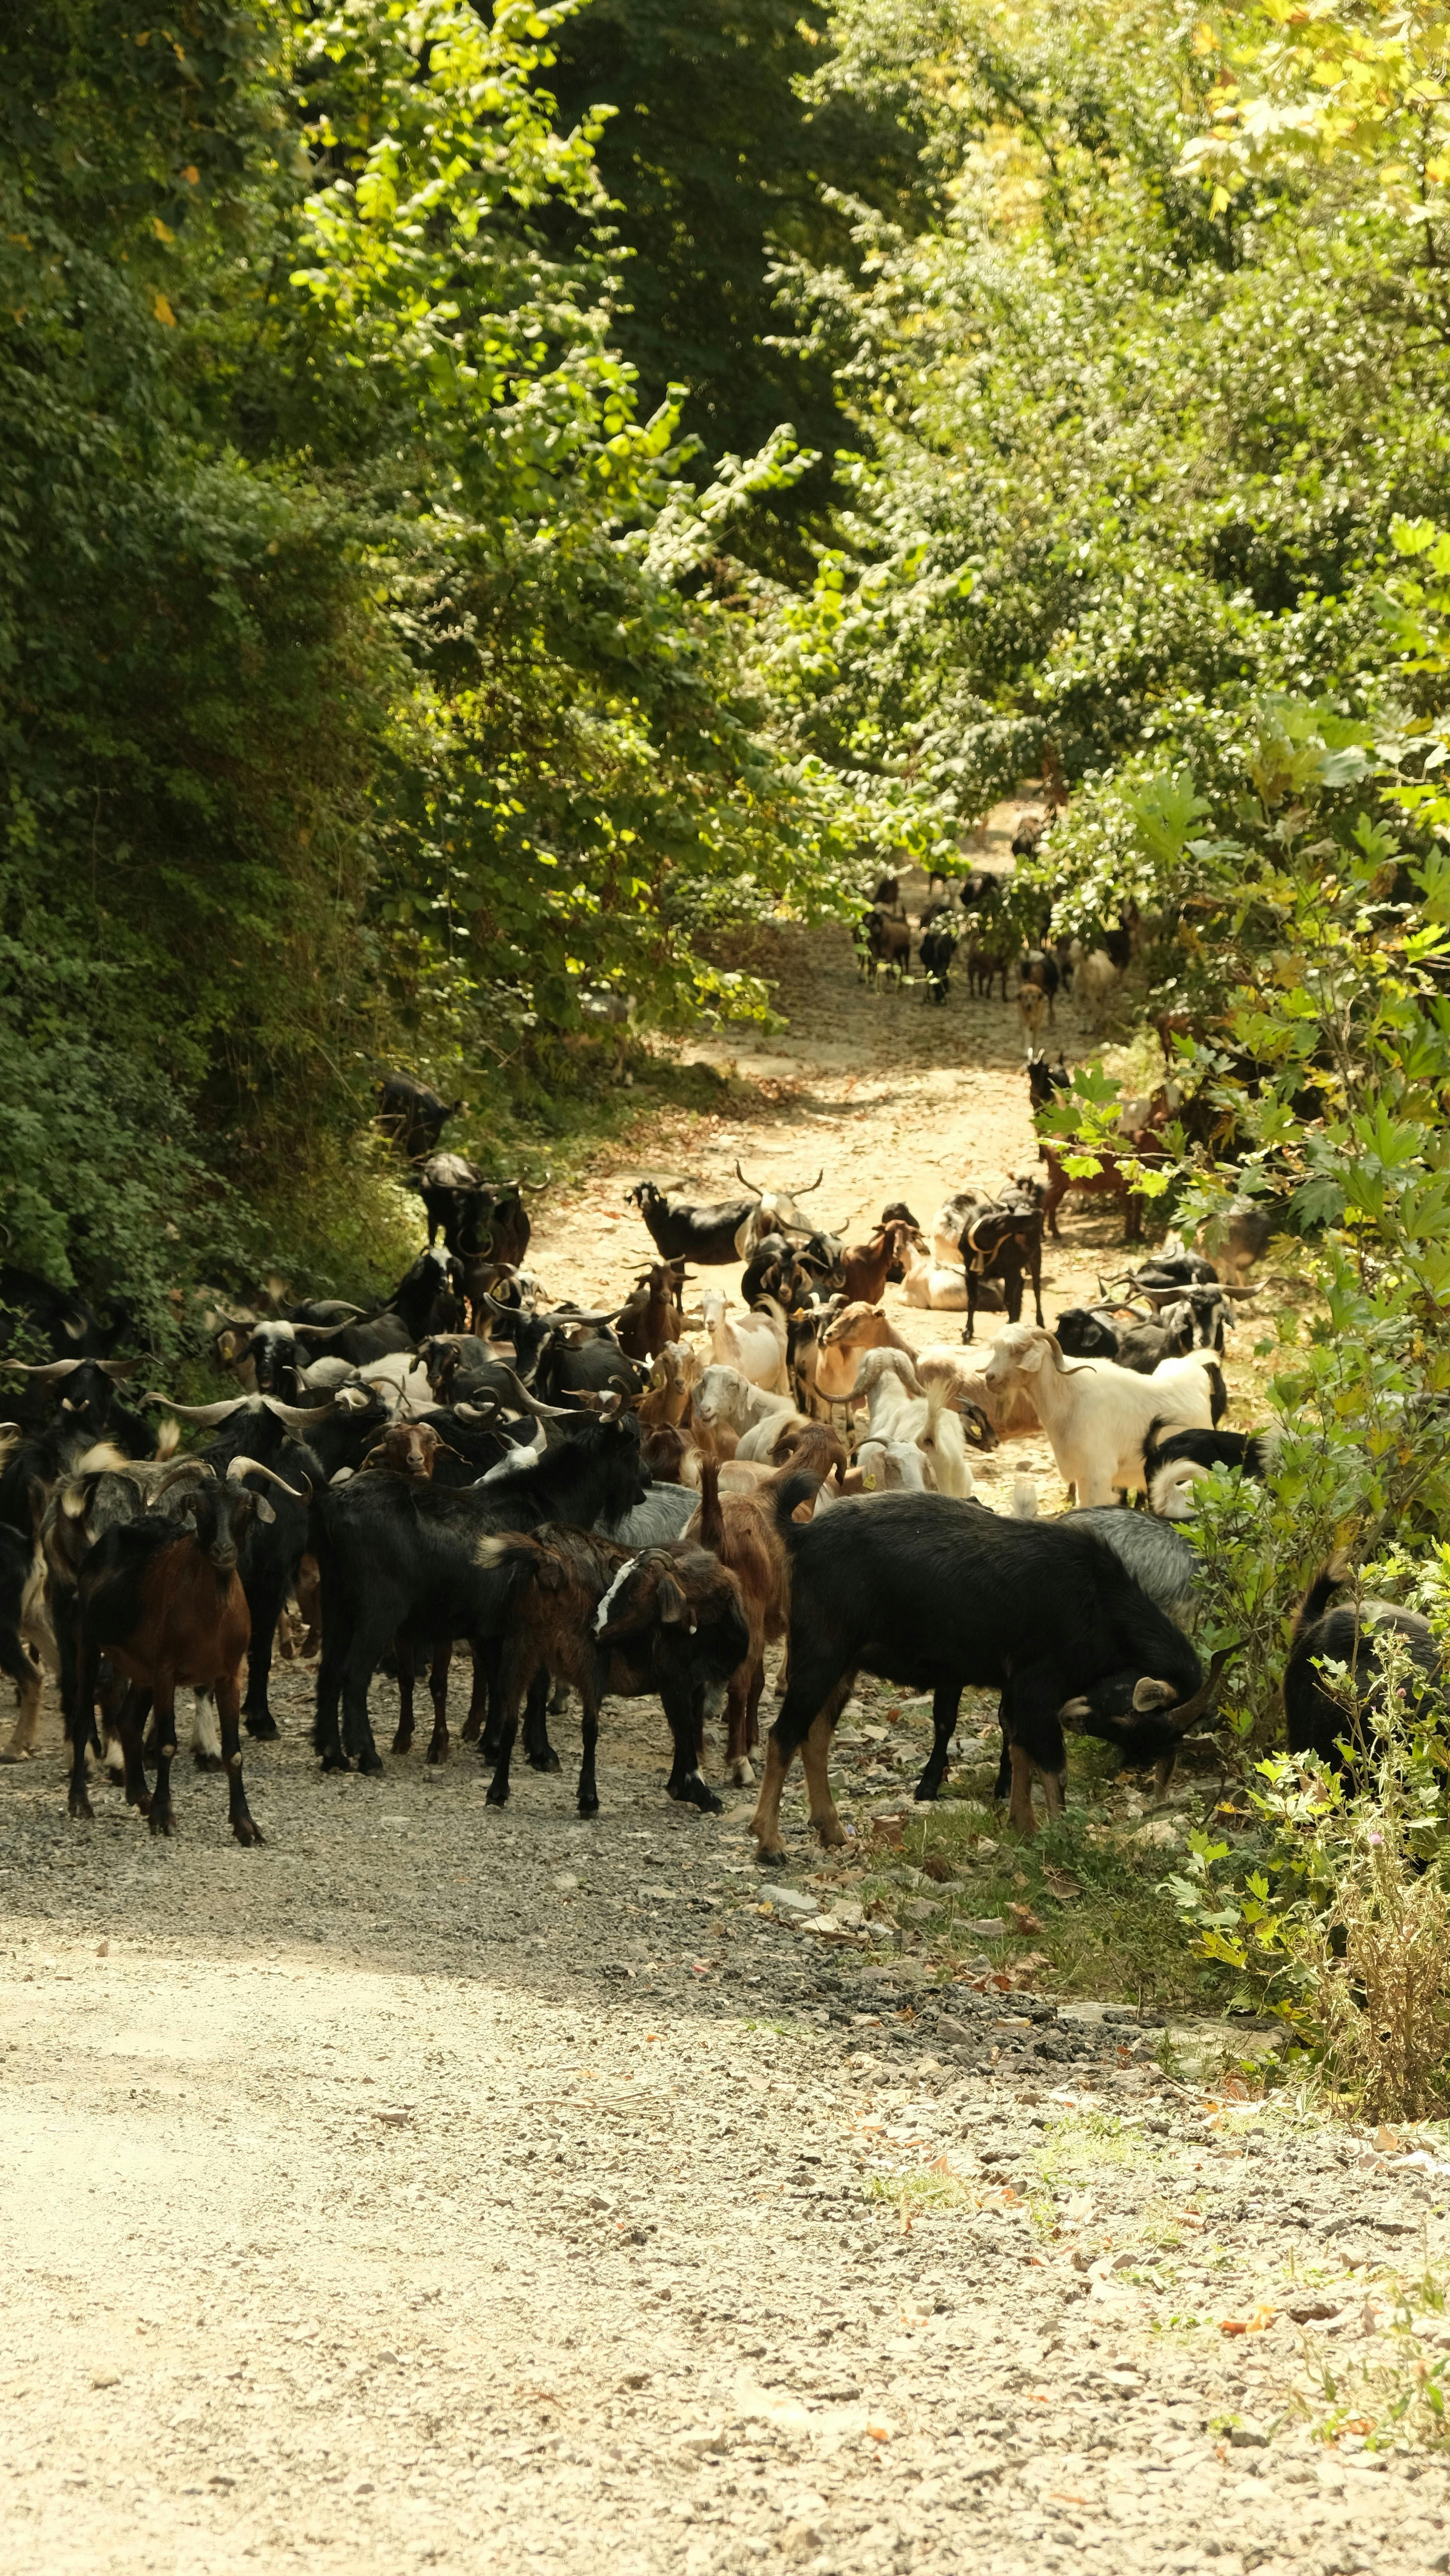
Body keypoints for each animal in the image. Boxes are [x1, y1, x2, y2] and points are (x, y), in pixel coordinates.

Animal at [981, 1324, 1221, 1507]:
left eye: (1019, 1350)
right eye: (997, 1349)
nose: (990, 1378)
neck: (1069, 1398)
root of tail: (1194, 1365)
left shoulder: (1098, 1474)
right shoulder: (1082, 1474)